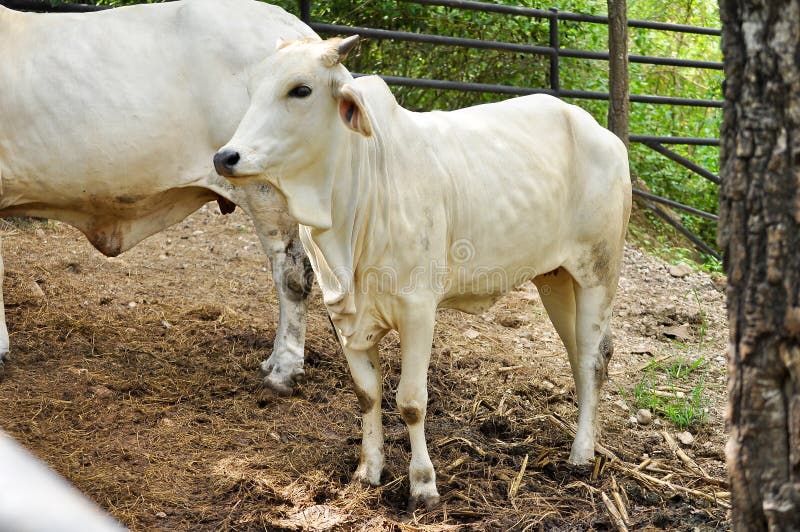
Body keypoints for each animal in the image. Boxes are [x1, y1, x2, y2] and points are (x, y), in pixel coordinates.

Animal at [214, 36, 632, 510]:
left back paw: (581, 455)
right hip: (556, 278)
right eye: (254, 90)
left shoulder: (418, 310)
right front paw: (368, 471)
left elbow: (411, 401)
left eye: (300, 90)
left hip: (598, 271)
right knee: (578, 356)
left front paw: (423, 485)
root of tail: (602, 134)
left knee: (593, 358)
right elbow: (367, 394)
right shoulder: (343, 315)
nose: (226, 157)